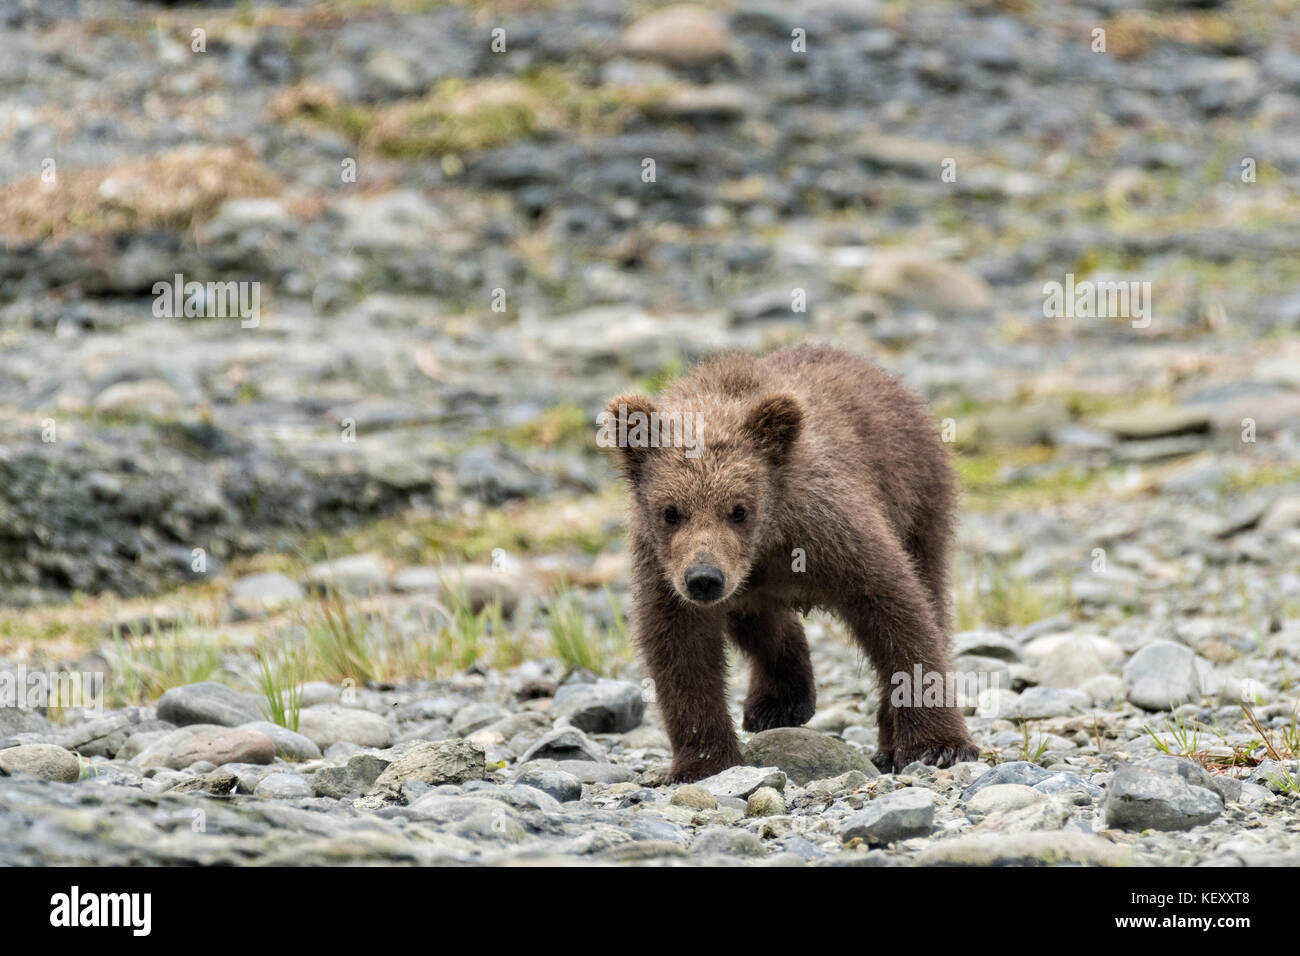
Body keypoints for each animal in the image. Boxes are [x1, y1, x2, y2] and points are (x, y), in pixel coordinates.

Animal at [602, 343, 979, 783]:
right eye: (671, 511)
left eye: (739, 509)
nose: (704, 578)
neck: (767, 542)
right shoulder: (663, 566)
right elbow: (681, 648)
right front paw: (703, 763)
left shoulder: (830, 529)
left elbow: (897, 611)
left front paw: (939, 746)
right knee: (762, 621)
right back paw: (779, 701)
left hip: (917, 497)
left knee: (930, 589)